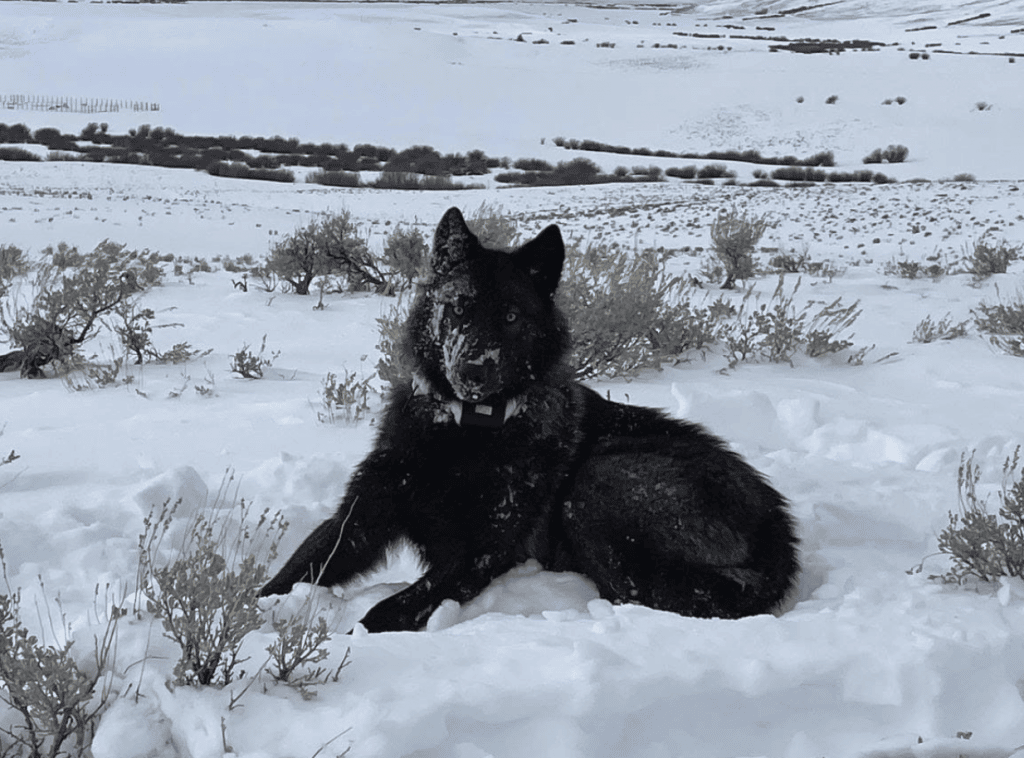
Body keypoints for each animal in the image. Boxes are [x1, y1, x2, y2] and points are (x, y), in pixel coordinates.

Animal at [260, 207, 799, 631]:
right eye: (459, 307)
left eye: (512, 317)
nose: (474, 369)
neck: (466, 433)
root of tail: (778, 531)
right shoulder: (360, 519)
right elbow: (289, 574)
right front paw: (252, 617)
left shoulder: (480, 553)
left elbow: (386, 612)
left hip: (600, 481)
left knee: (642, 590)